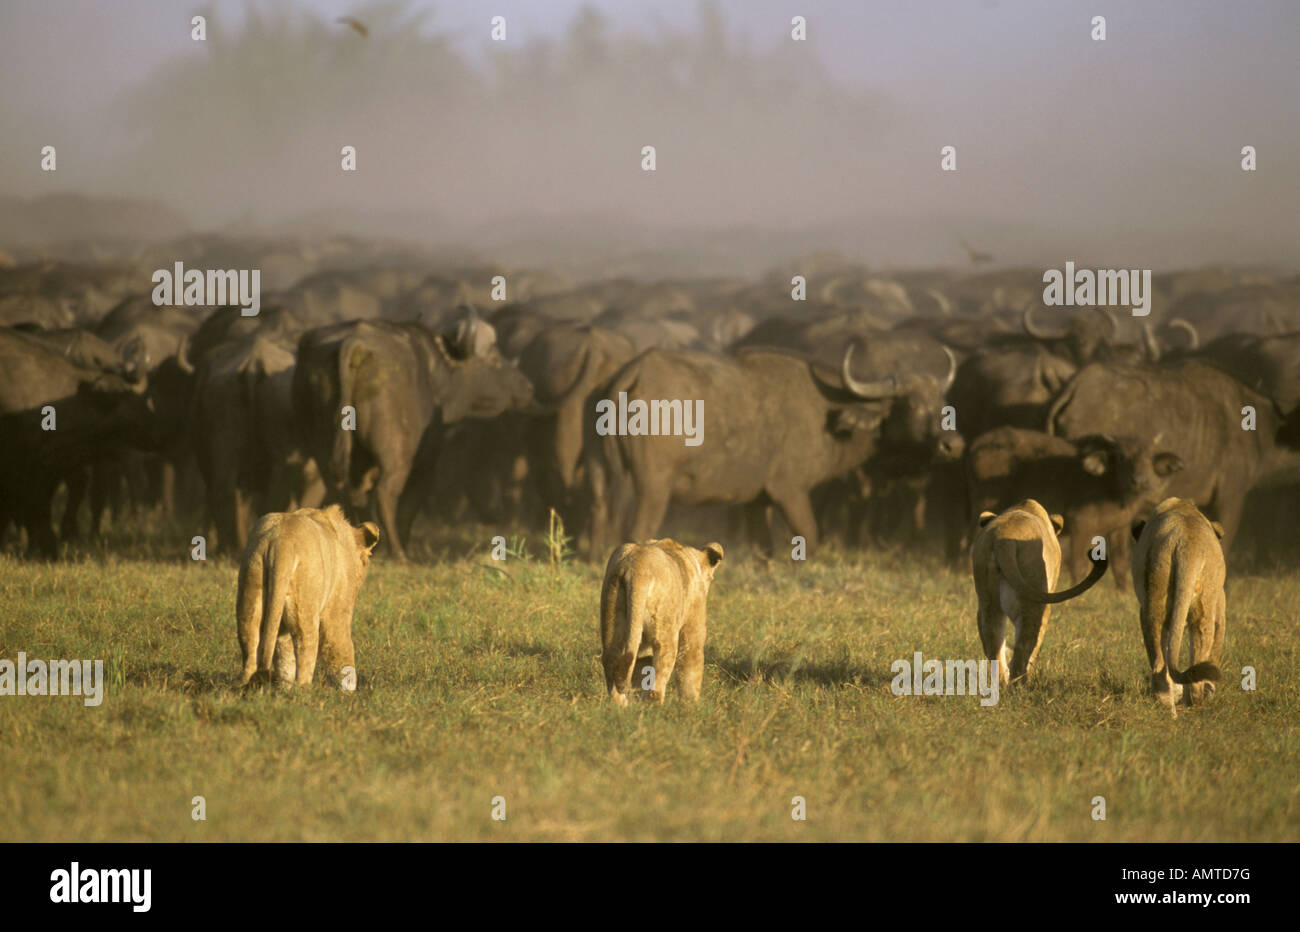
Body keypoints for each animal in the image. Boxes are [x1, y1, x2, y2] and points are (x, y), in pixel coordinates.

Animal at [236, 505, 380, 690]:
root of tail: (282, 542)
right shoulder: (337, 611)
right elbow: (341, 648)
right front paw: (349, 691)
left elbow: (284, 654)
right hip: (305, 606)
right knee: (305, 653)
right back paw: (304, 692)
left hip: (251, 587)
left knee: (251, 650)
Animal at [599, 538, 724, 705]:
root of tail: (637, 568)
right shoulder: (692, 625)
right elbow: (691, 665)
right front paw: (691, 705)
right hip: (666, 631)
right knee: (658, 681)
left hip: (613, 612)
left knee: (612, 660)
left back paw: (620, 705)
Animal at [972, 499, 1108, 686]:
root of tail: (1002, 541)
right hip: (1034, 601)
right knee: (1024, 647)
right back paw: (1020, 684)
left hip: (988, 604)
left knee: (994, 645)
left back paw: (1003, 683)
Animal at [1130, 497, 1226, 717]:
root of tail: (1188, 544)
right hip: (1203, 606)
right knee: (1197, 655)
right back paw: (1193, 703)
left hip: (1154, 597)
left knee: (1159, 661)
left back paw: (1167, 705)